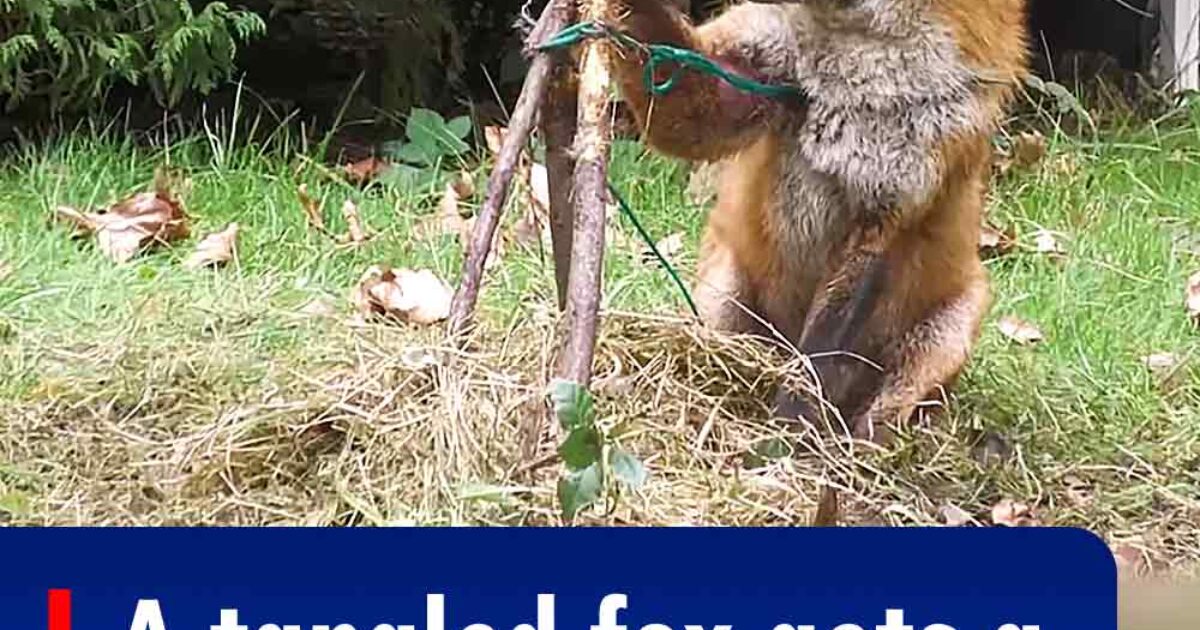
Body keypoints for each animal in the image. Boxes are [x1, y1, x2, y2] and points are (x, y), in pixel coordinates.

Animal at [607, 0, 1029, 440]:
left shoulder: (885, 217)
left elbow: (817, 364)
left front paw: (786, 438)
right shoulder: (749, 73)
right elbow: (680, 108)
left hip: (946, 335)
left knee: (885, 414)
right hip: (722, 292)